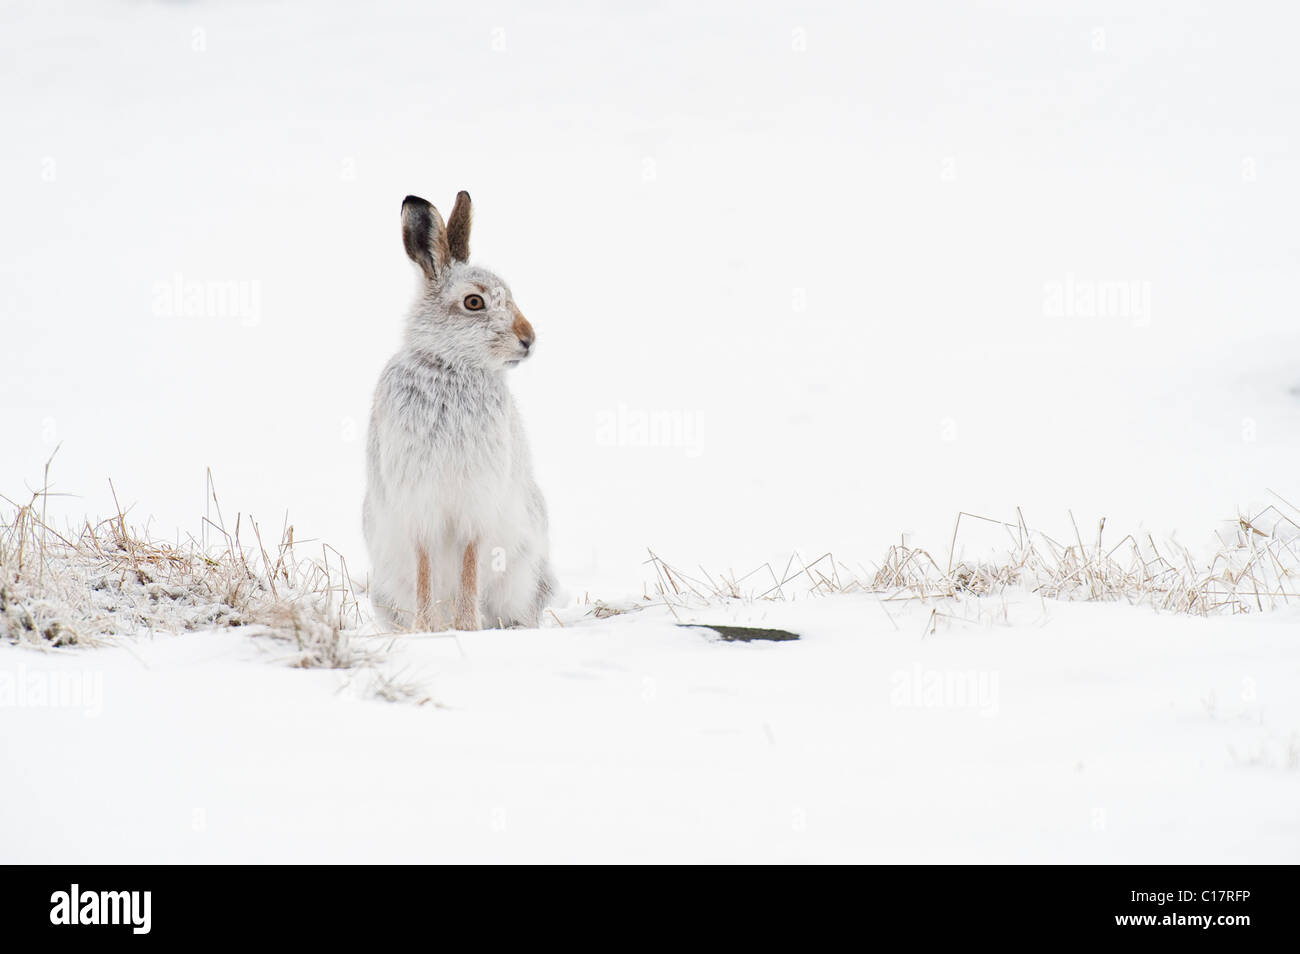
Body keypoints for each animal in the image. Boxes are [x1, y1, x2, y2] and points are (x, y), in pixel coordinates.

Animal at [363, 191, 555, 631]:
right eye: (474, 302)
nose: (529, 340)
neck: (451, 367)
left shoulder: (476, 506)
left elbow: (470, 565)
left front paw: (467, 628)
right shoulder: (419, 506)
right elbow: (424, 569)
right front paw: (426, 629)